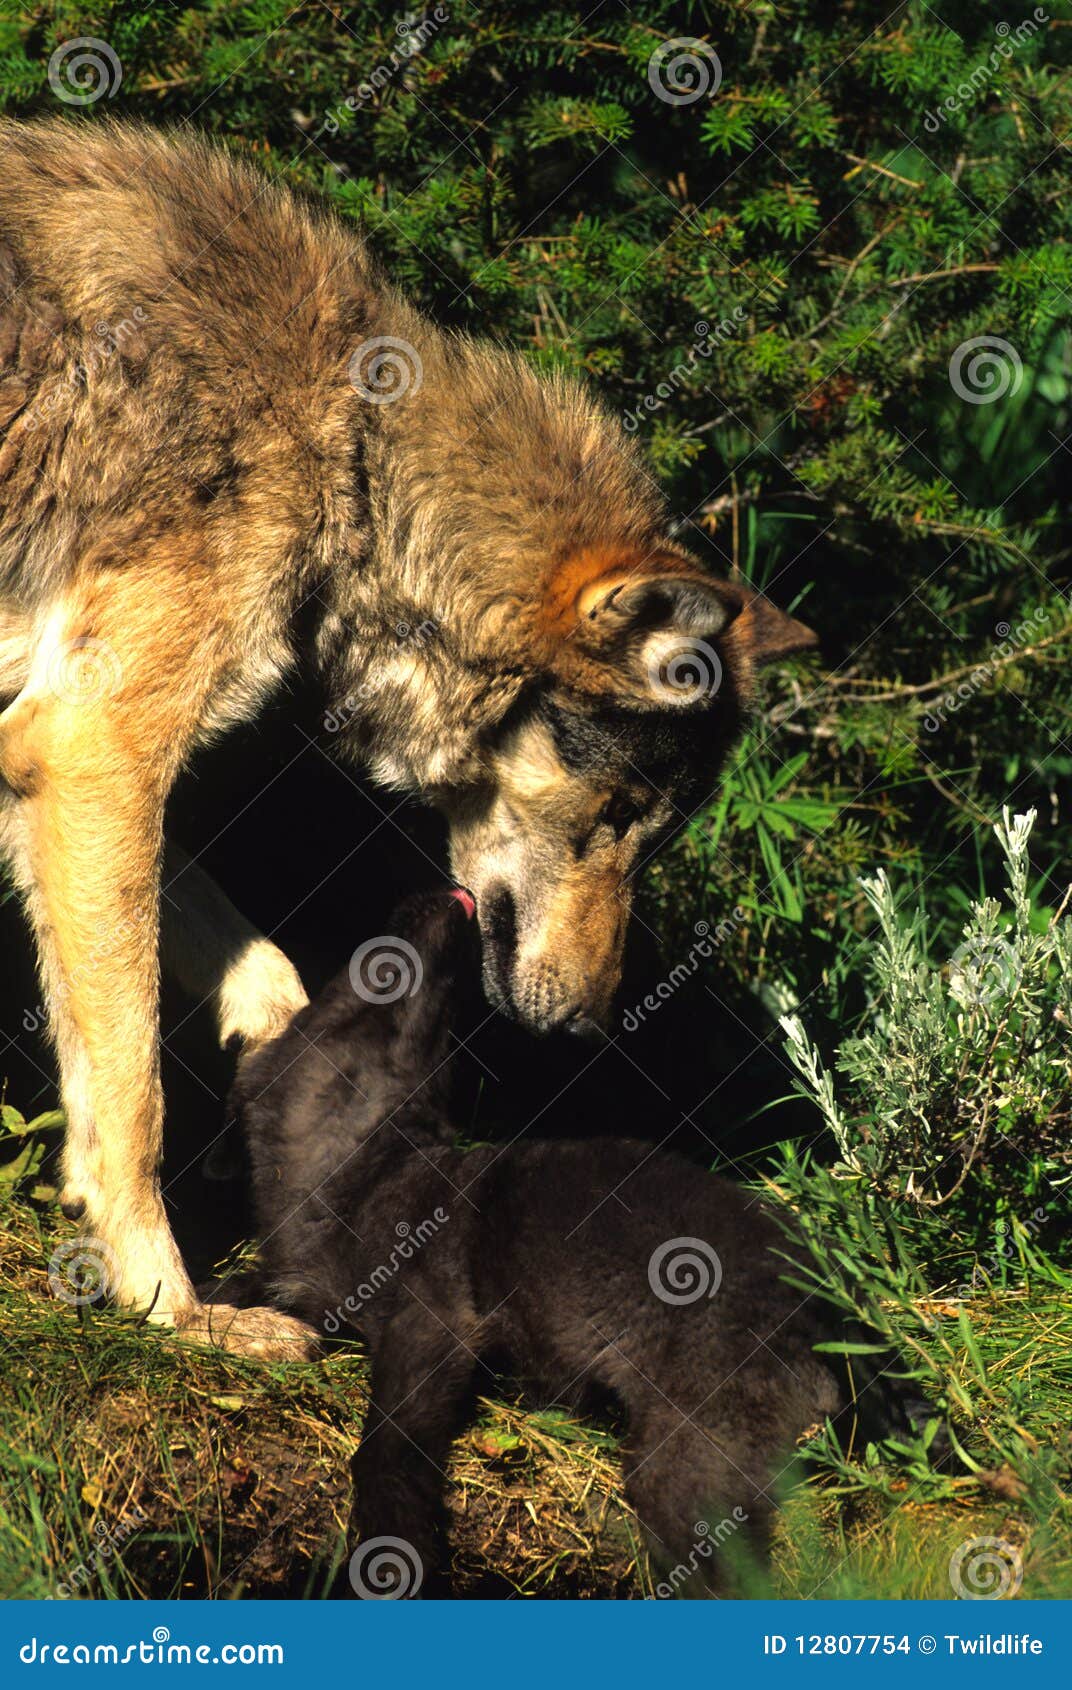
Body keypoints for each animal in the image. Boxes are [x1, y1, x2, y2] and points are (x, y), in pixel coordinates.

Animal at [0, 120, 815, 1353]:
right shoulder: (97, 744)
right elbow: (132, 1087)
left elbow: (254, 965)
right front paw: (172, 1307)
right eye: (621, 817)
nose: (591, 1025)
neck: (355, 451)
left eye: (657, 836)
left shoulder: (41, 749)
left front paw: (288, 1061)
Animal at [234, 889, 914, 1598]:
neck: (365, 1182)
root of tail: (831, 1306)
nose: (448, 894)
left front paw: (392, 1542)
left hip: (681, 1468)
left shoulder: (435, 1321)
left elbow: (385, 1443)